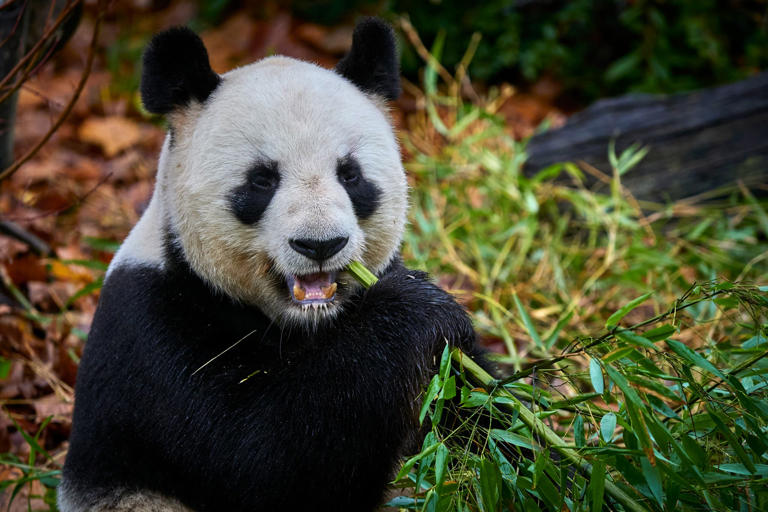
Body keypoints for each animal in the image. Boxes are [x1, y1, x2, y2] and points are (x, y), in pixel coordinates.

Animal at [59, 18, 479, 512]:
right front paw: (415, 309)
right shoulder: (152, 334)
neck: (307, 323)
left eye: (350, 174)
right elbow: (262, 459)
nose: (320, 244)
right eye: (262, 180)